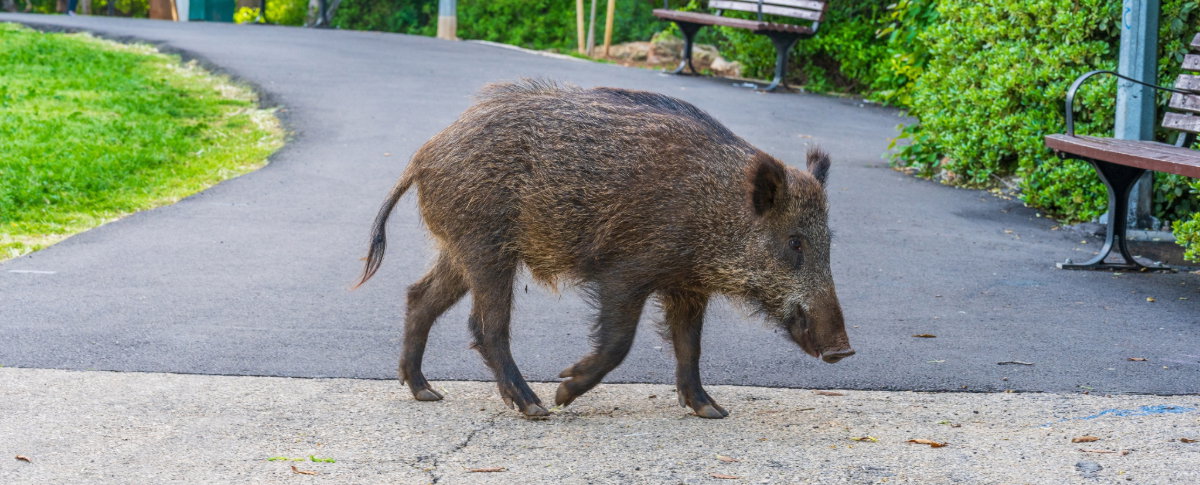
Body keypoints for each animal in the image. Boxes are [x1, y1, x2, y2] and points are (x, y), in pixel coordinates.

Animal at [355, 79, 853, 419]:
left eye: (829, 242)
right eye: (794, 241)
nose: (843, 351)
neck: (710, 210)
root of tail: (423, 155)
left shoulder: (687, 286)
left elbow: (690, 345)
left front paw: (711, 410)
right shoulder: (624, 271)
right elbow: (619, 343)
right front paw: (564, 388)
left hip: (461, 250)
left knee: (420, 297)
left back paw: (426, 392)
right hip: (486, 247)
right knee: (485, 325)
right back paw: (534, 406)